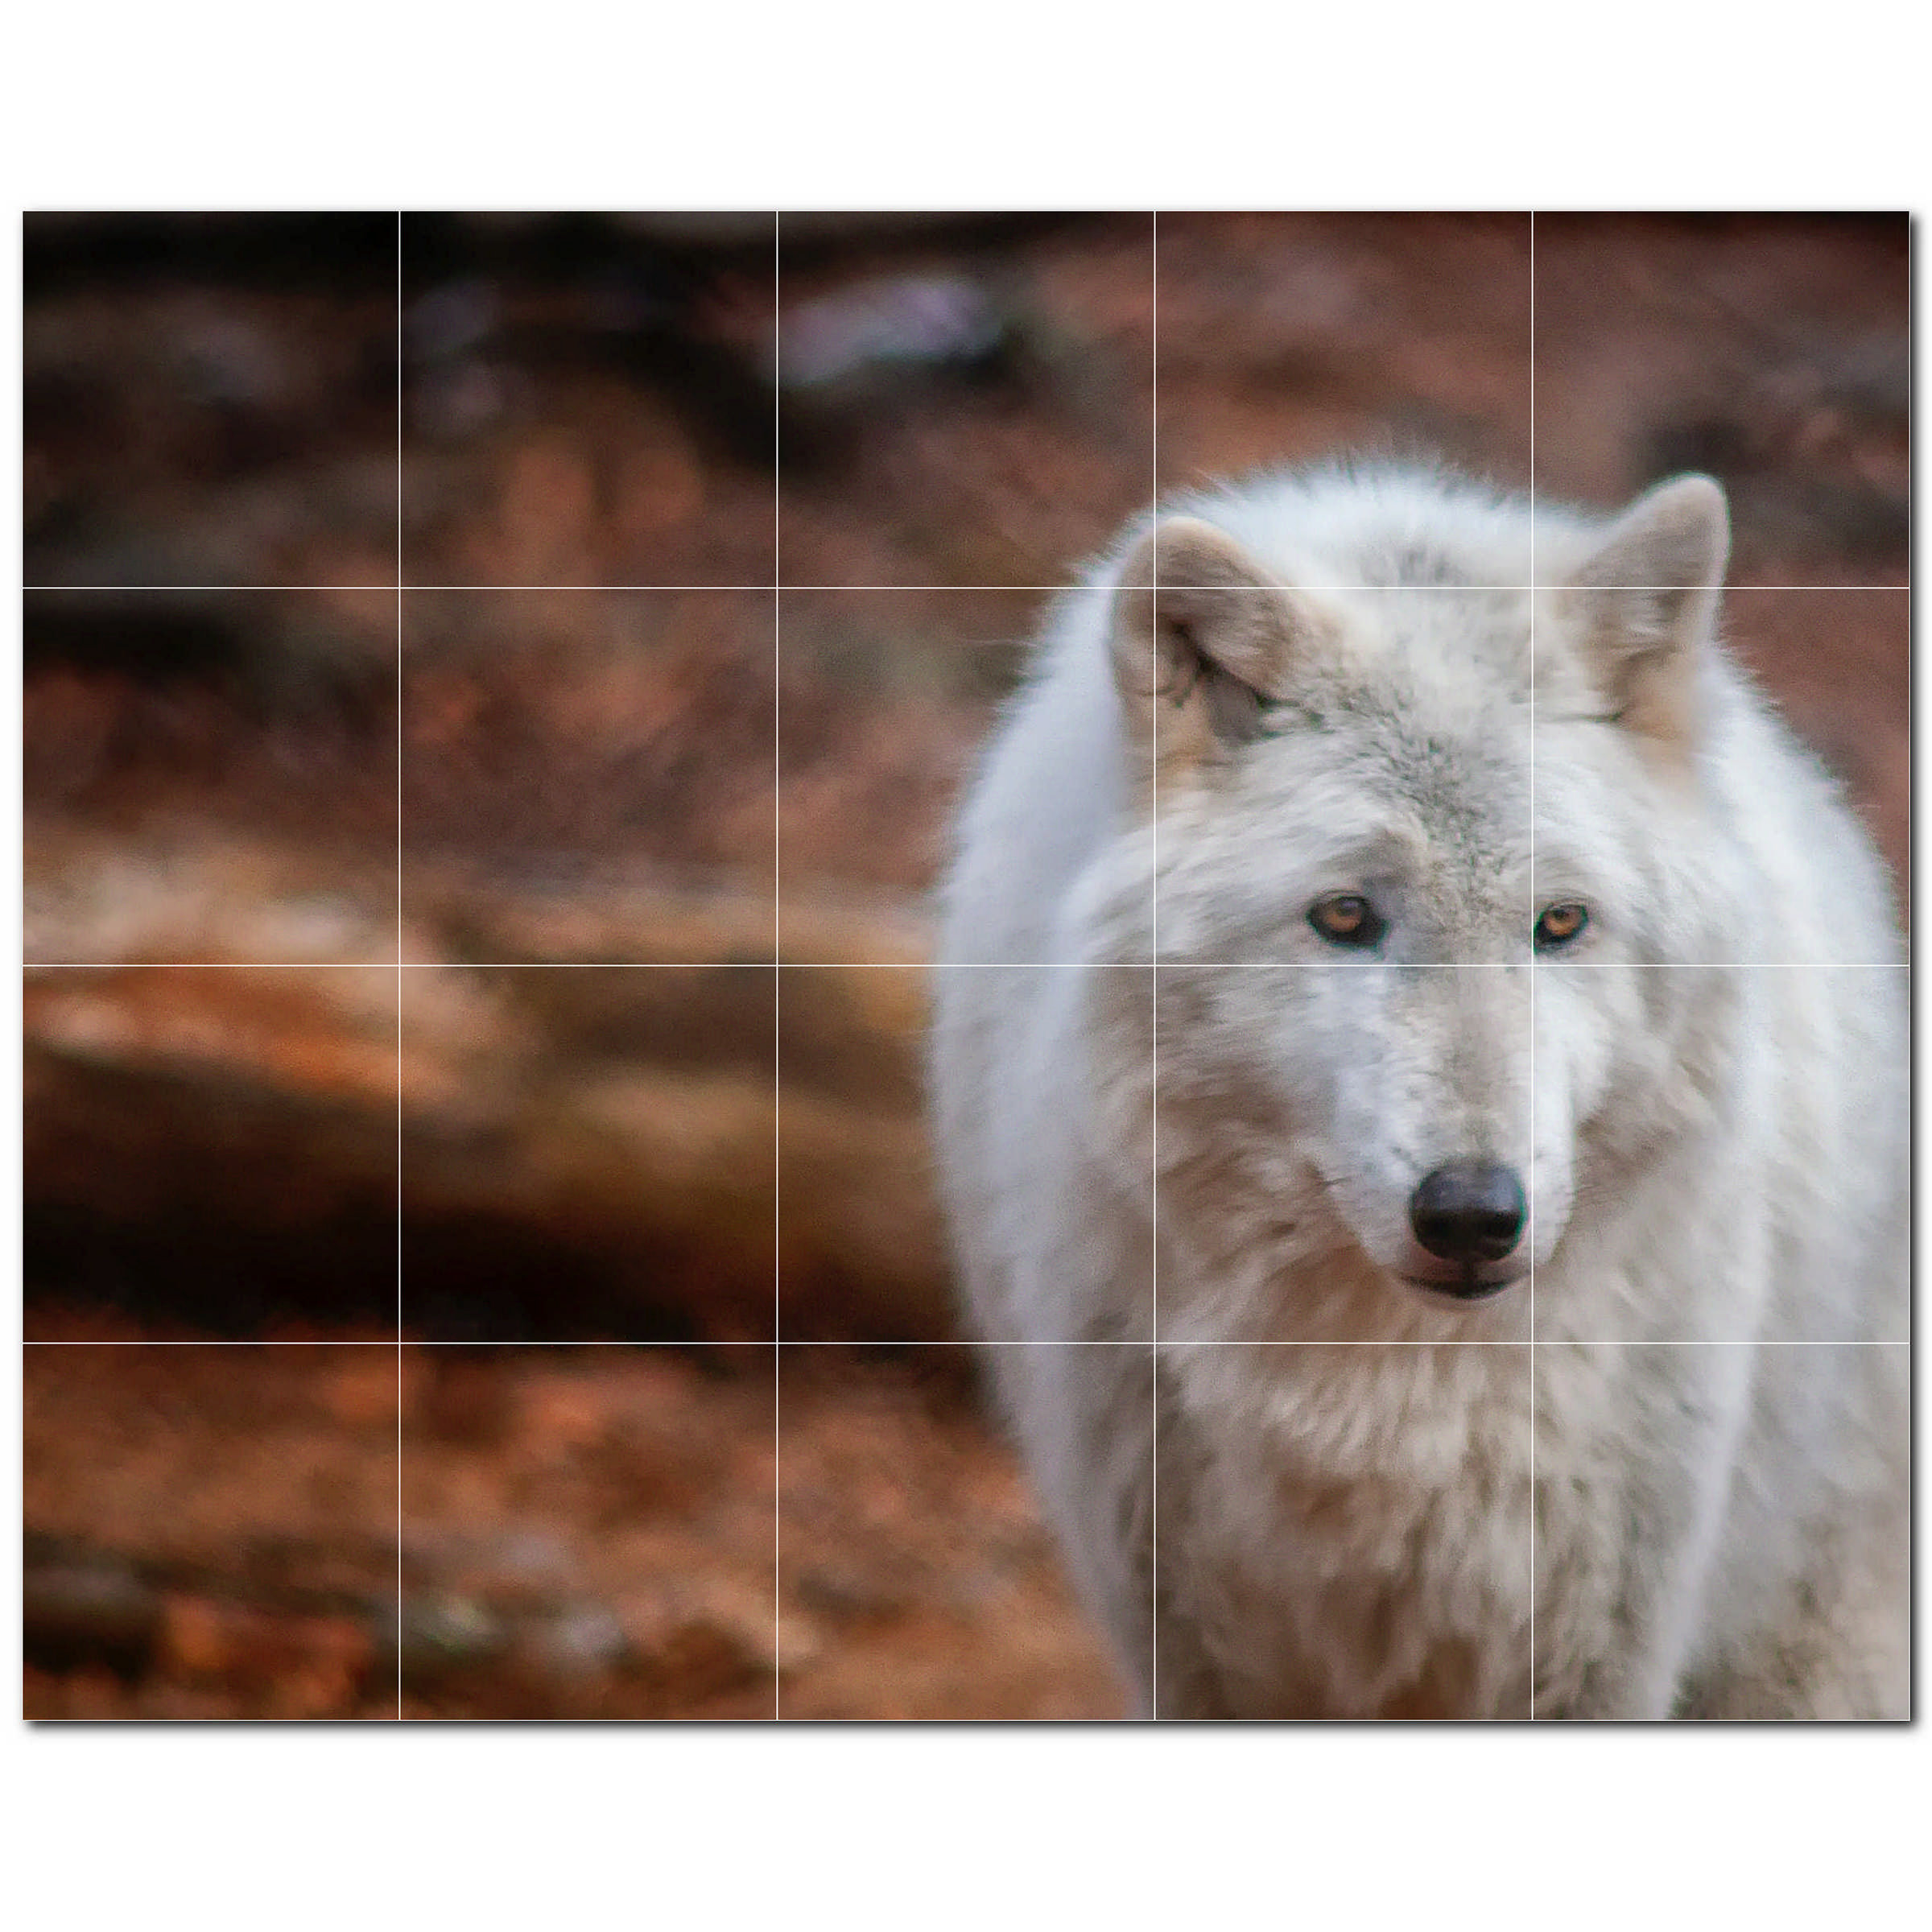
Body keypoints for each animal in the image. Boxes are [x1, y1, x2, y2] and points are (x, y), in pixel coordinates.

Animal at [929, 461, 1907, 1719]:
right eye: (1347, 915)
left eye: (1560, 923)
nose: (1474, 1215)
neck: (1390, 1393)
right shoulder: (1189, 1644)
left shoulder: (1599, 1646)